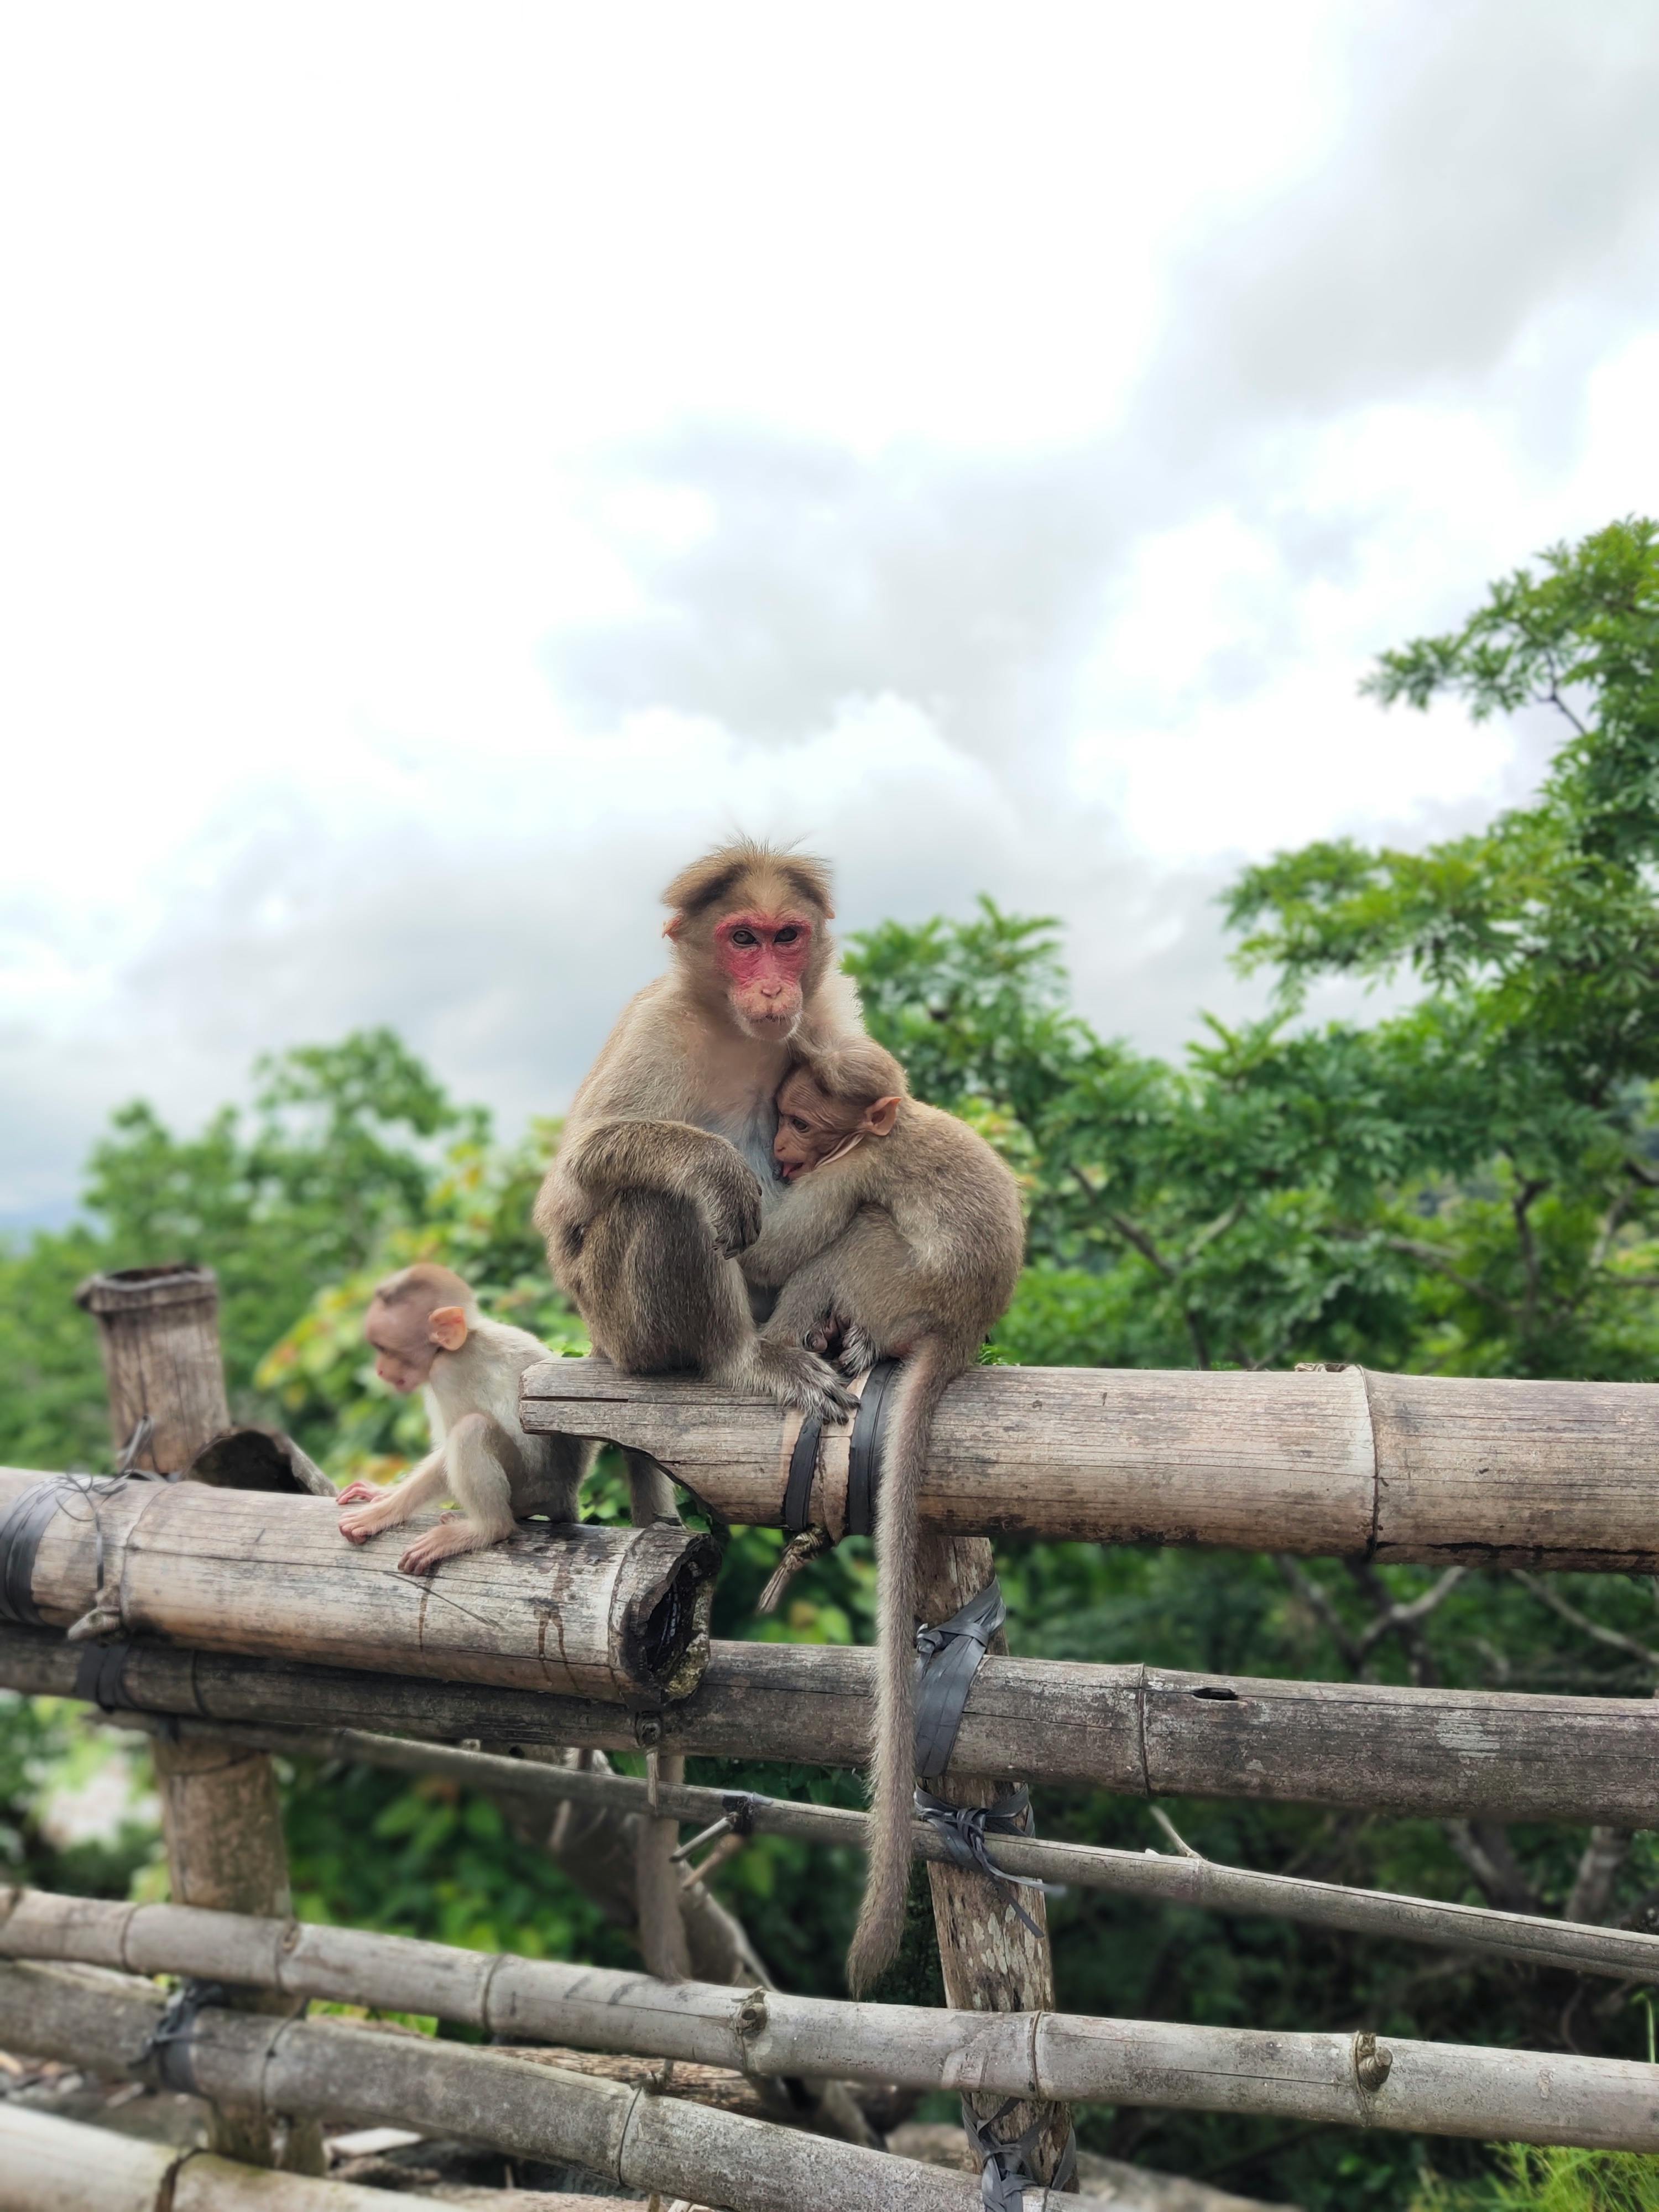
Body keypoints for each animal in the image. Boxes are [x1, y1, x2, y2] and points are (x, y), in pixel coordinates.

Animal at [335, 1261, 669, 1573]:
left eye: (386, 1350)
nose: (380, 1370)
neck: (458, 1344)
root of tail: (567, 1494)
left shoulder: (447, 1373)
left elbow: (446, 1455)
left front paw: (383, 1512)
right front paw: (382, 1493)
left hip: (530, 1489)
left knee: (472, 1429)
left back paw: (488, 1529)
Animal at [532, 840, 868, 1428]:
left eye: (786, 936)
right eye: (743, 939)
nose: (773, 988)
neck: (738, 1030)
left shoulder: (827, 1009)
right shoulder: (660, 1024)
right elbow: (579, 1161)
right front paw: (716, 1167)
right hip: (622, 1330)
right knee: (663, 1200)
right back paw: (744, 1358)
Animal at [739, 1039, 1027, 1994]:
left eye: (802, 1119)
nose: (782, 1151)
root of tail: (959, 1331)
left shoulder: (849, 1169)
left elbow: (775, 1248)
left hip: (893, 1280)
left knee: (848, 1239)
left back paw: (775, 1353)